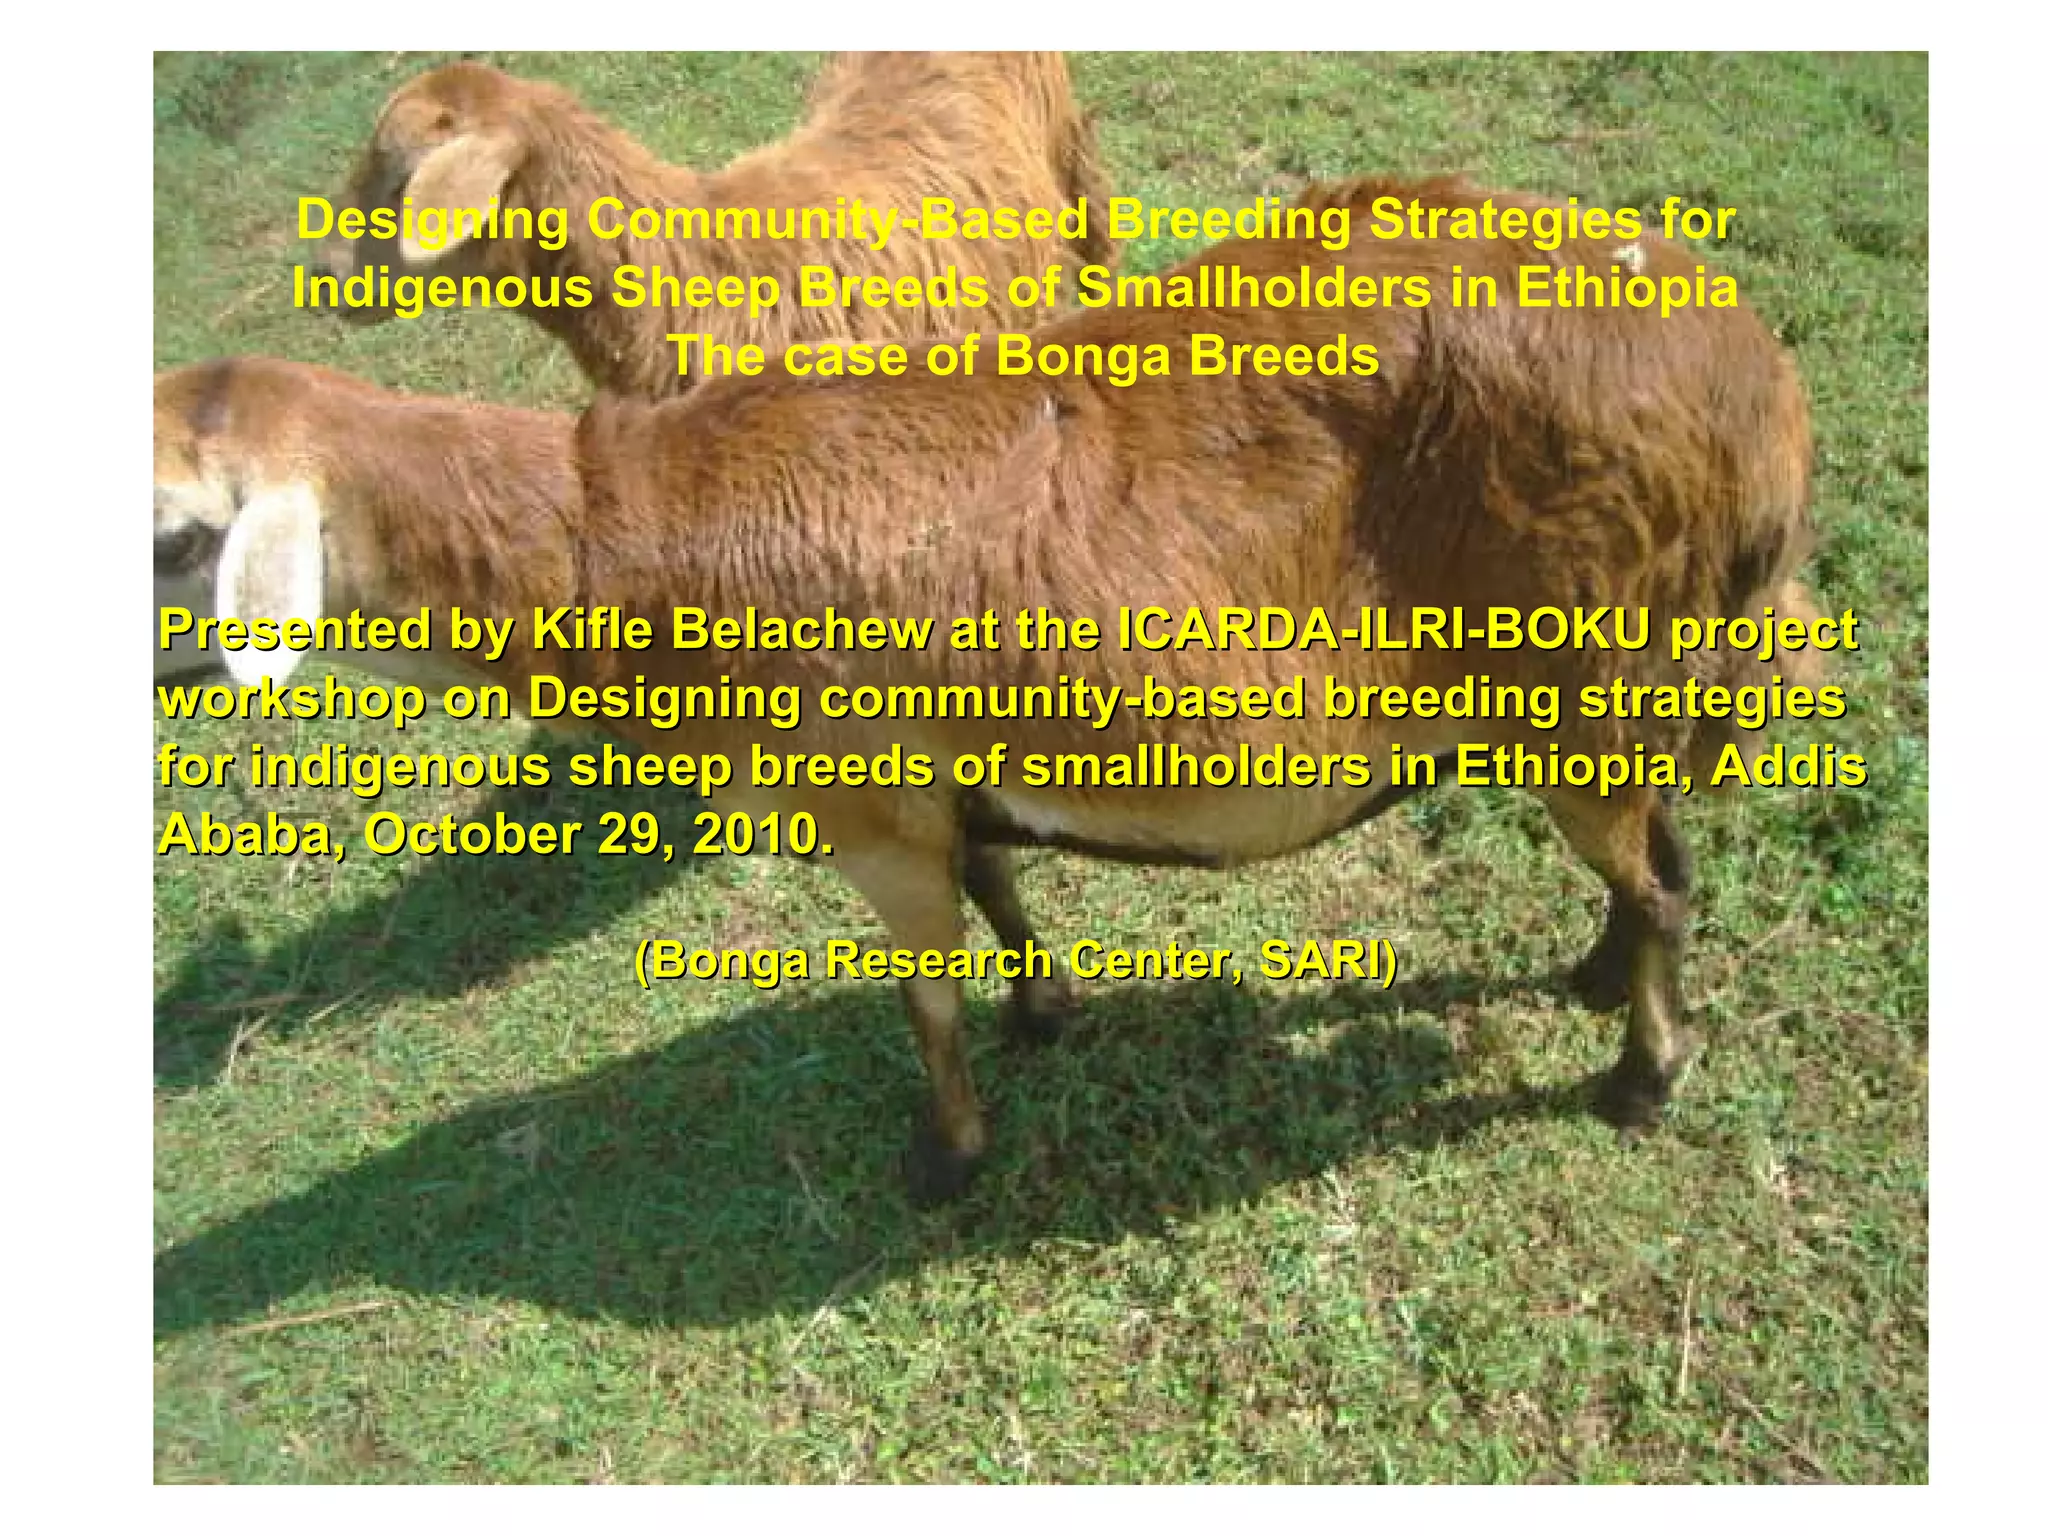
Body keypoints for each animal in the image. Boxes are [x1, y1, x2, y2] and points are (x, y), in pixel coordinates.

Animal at [159, 177, 1817, 1205]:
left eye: (177, 536)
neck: (611, 529)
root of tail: (1755, 390)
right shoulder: (942, 778)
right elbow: (1007, 897)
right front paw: (1049, 1011)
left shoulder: (861, 812)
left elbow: (926, 993)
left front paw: (946, 1160)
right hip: (1622, 678)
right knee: (1656, 863)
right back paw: (1598, 982)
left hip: (1579, 659)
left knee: (1666, 887)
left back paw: (1643, 1076)